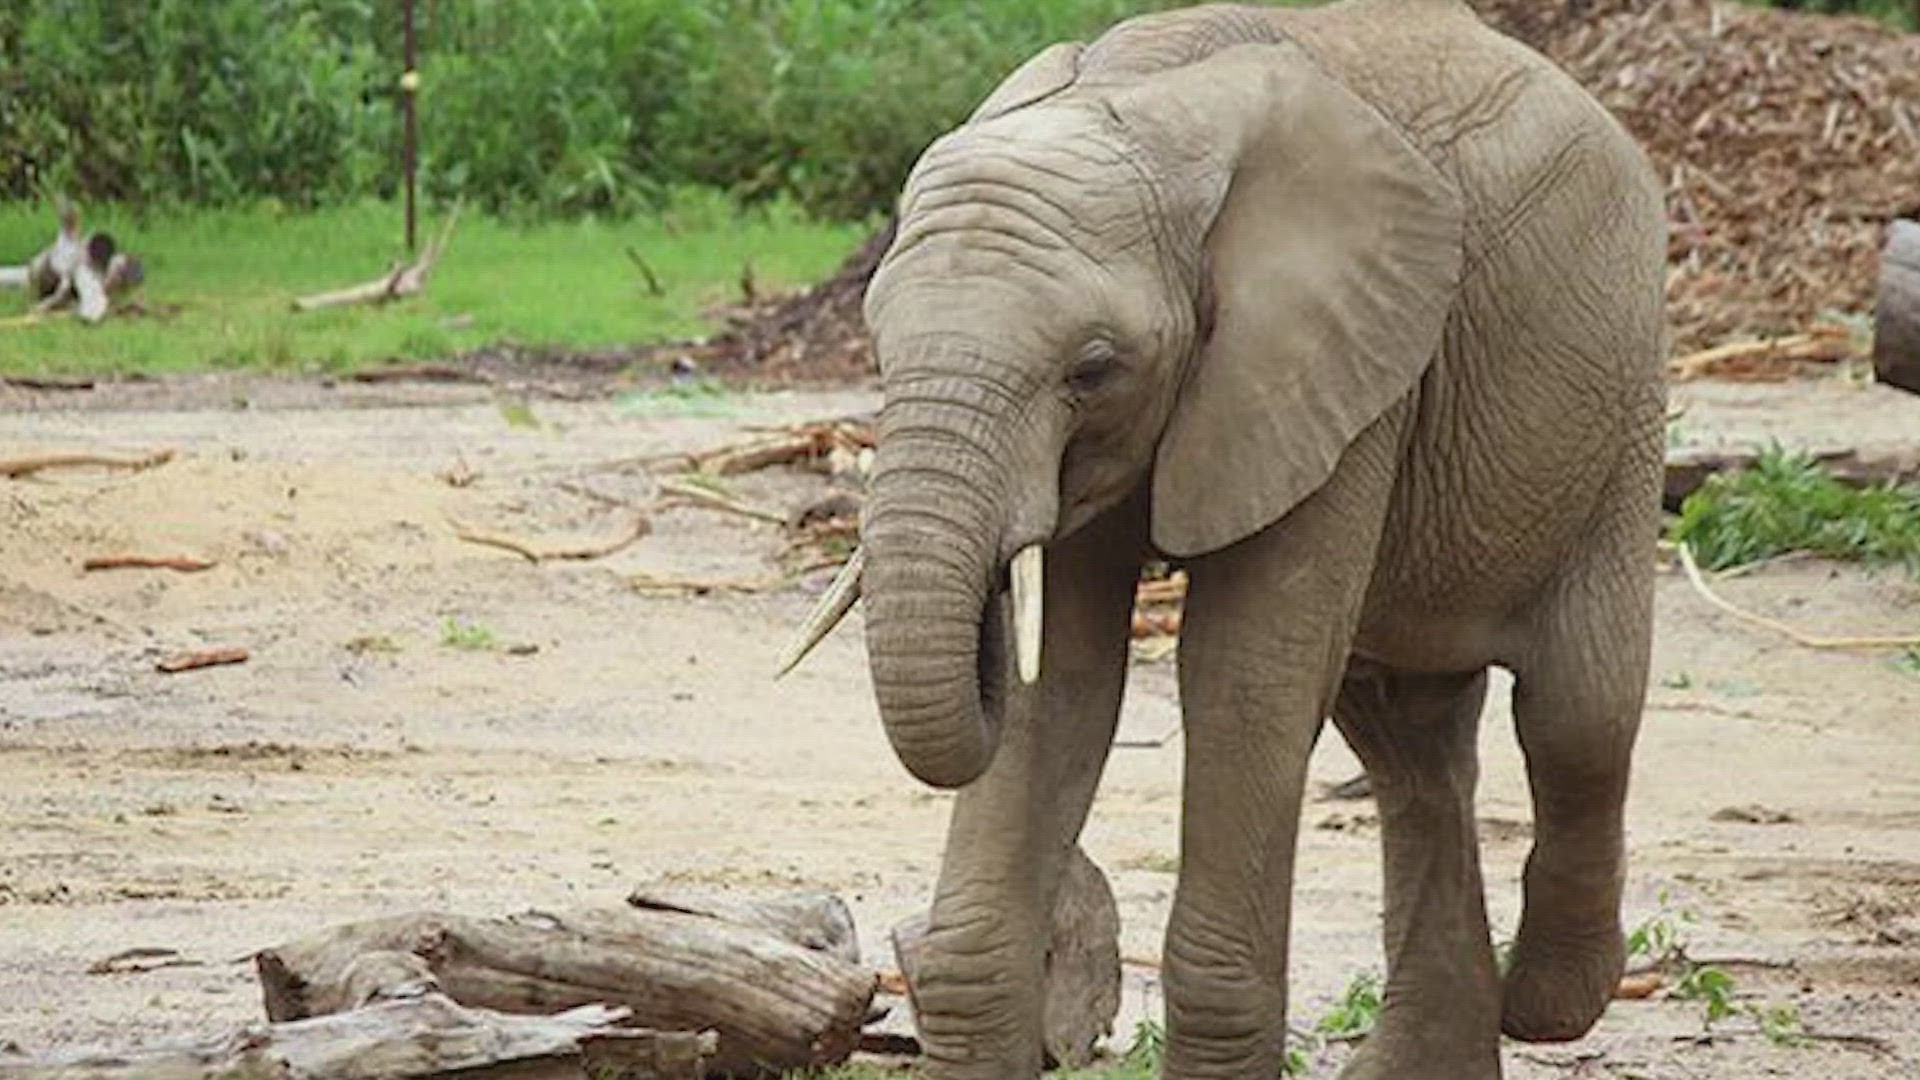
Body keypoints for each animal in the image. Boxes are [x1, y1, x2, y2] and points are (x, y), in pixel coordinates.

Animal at [781, 1, 1667, 1076]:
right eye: (877, 348)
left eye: (1091, 369)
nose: (990, 589)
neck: (1143, 100)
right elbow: (1064, 687)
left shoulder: (1345, 363)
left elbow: (1242, 679)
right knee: (1412, 749)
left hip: (1622, 397)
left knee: (1576, 713)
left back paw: (1550, 999)